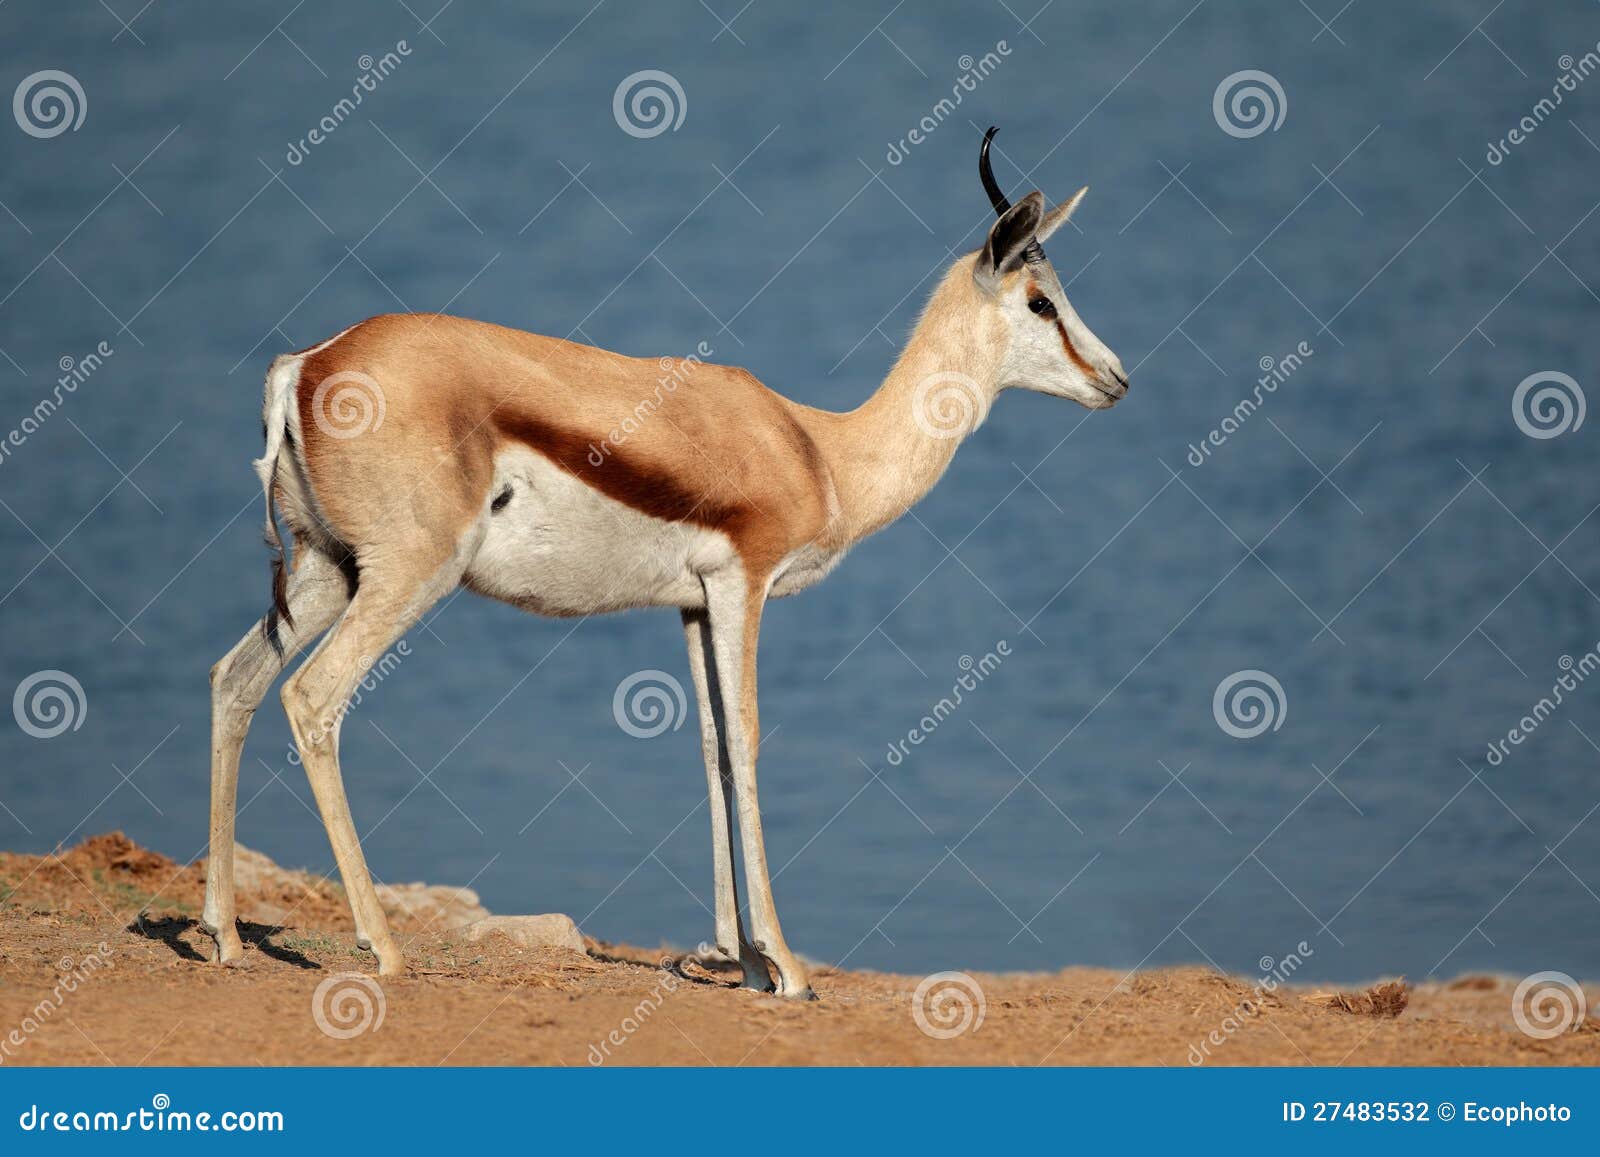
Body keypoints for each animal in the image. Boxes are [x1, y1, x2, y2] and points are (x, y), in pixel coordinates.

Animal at [202, 128, 1128, 1000]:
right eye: (1041, 300)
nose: (1116, 377)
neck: (822, 452)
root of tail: (307, 364)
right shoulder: (744, 584)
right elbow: (748, 739)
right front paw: (787, 967)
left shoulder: (692, 602)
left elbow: (710, 744)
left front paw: (738, 958)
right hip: (409, 576)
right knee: (312, 698)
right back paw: (383, 948)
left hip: (328, 571)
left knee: (234, 678)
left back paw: (225, 934)